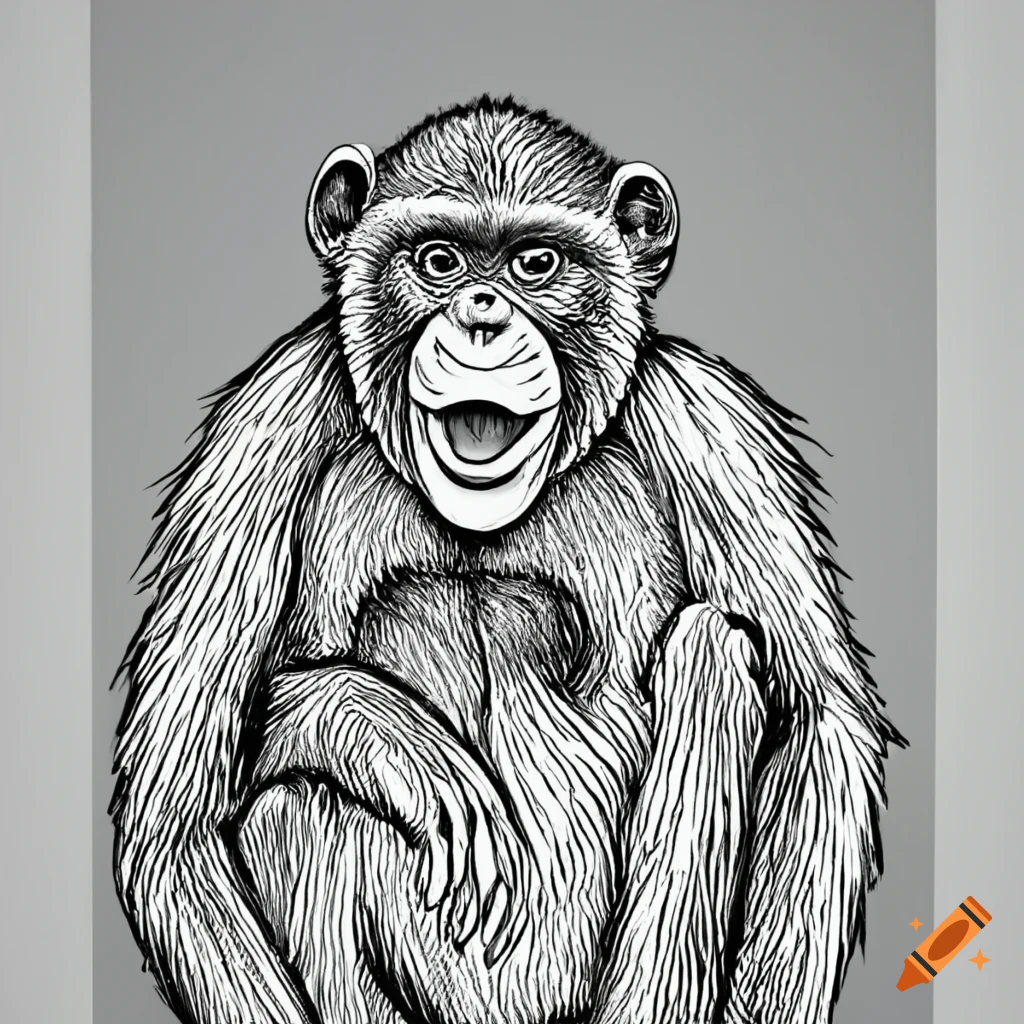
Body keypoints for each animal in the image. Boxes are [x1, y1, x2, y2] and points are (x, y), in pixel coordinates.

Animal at [110, 96, 903, 1024]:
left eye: (536, 263)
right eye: (439, 260)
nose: (483, 315)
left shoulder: (711, 425)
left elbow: (820, 720)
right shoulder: (265, 424)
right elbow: (177, 810)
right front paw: (386, 730)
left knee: (713, 647)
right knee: (299, 808)